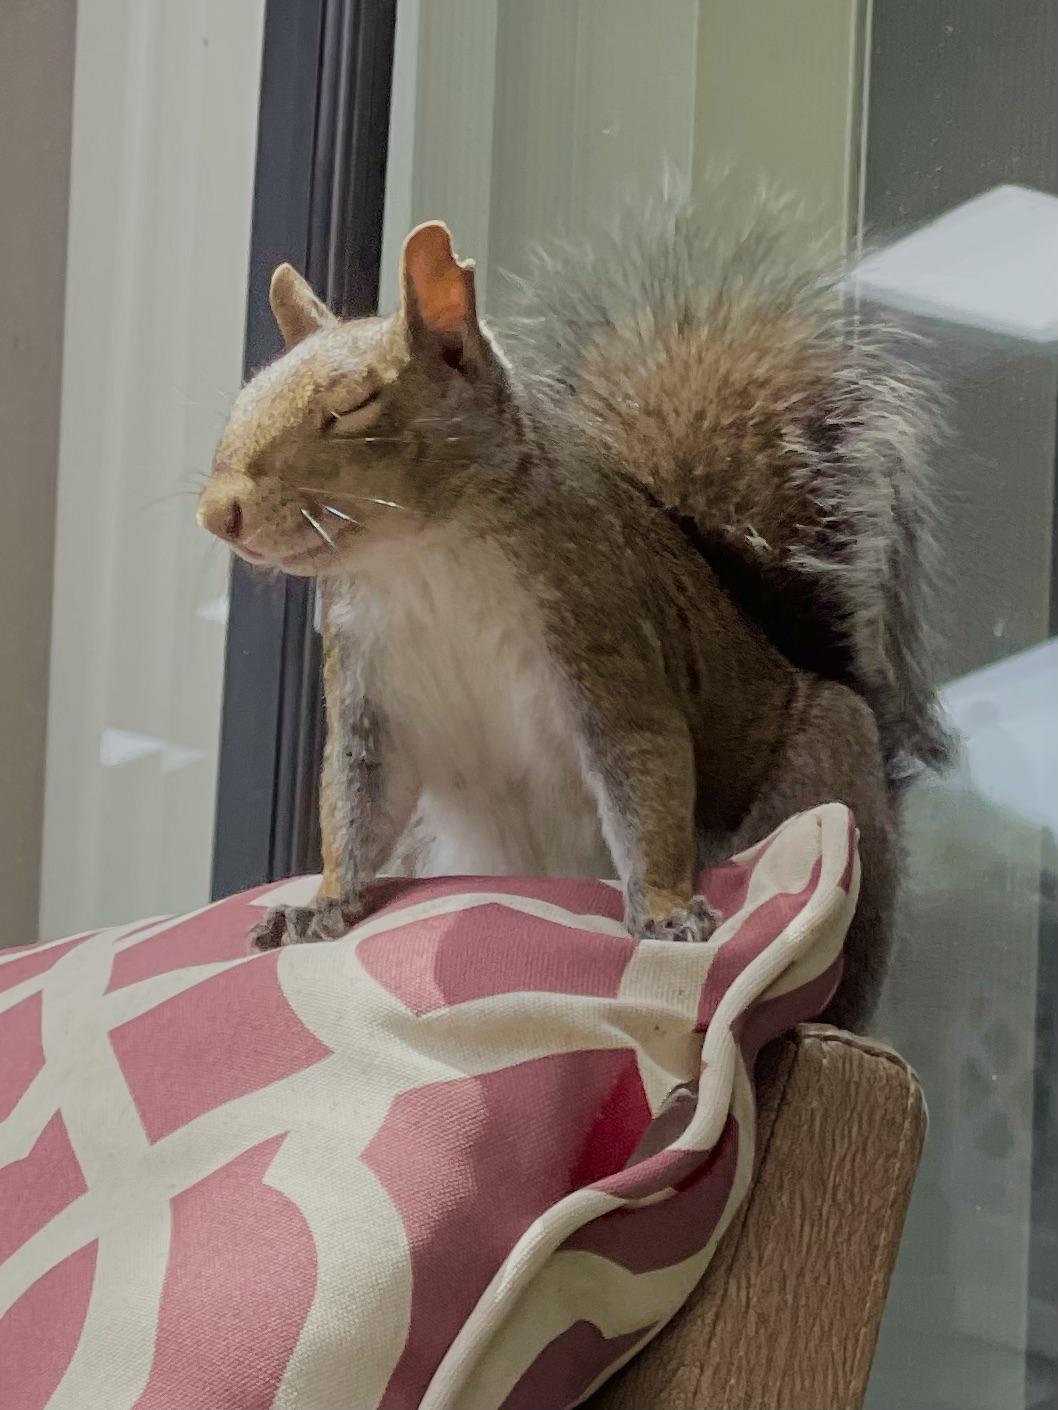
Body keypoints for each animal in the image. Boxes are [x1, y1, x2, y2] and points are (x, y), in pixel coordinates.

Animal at [198, 193, 950, 1031]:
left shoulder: (606, 643)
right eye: (245, 395)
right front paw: (323, 904)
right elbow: (355, 806)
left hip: (829, 768)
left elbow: (645, 781)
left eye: (356, 404)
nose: (217, 512)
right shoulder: (369, 693)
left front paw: (665, 911)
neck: (423, 556)